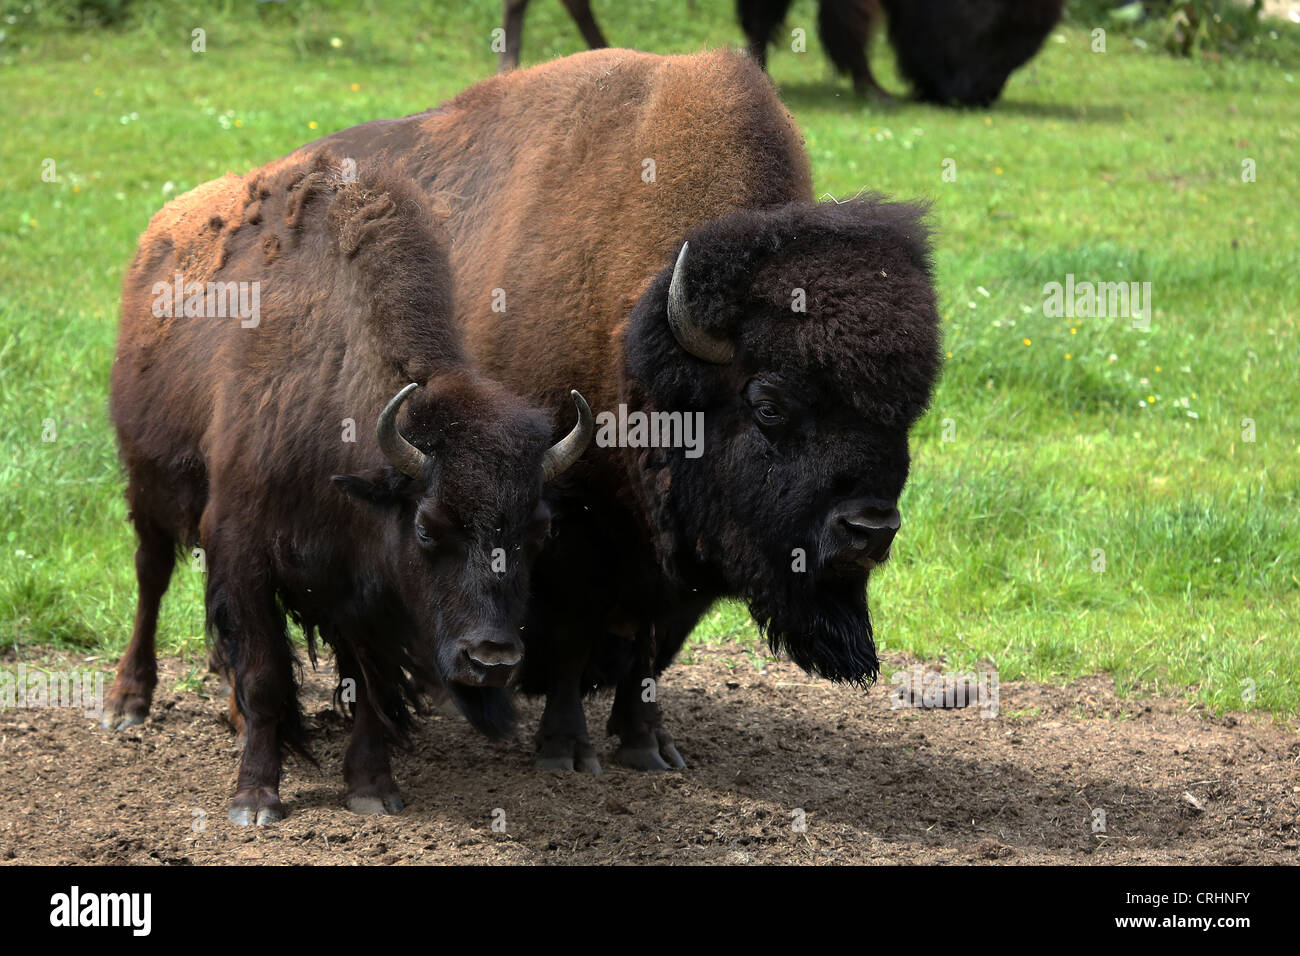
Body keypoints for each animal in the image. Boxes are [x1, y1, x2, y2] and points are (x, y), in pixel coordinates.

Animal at [106, 151, 593, 821]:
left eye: (540, 530)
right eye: (427, 526)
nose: (491, 659)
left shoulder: (363, 586)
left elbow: (369, 684)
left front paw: (372, 788)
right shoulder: (244, 548)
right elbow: (263, 673)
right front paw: (254, 797)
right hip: (147, 486)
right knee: (150, 576)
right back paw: (126, 703)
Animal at [297, 48, 942, 771]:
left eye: (908, 412)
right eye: (770, 405)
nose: (870, 528)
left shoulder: (677, 562)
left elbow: (651, 648)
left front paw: (648, 745)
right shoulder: (570, 536)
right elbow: (575, 636)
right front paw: (566, 749)